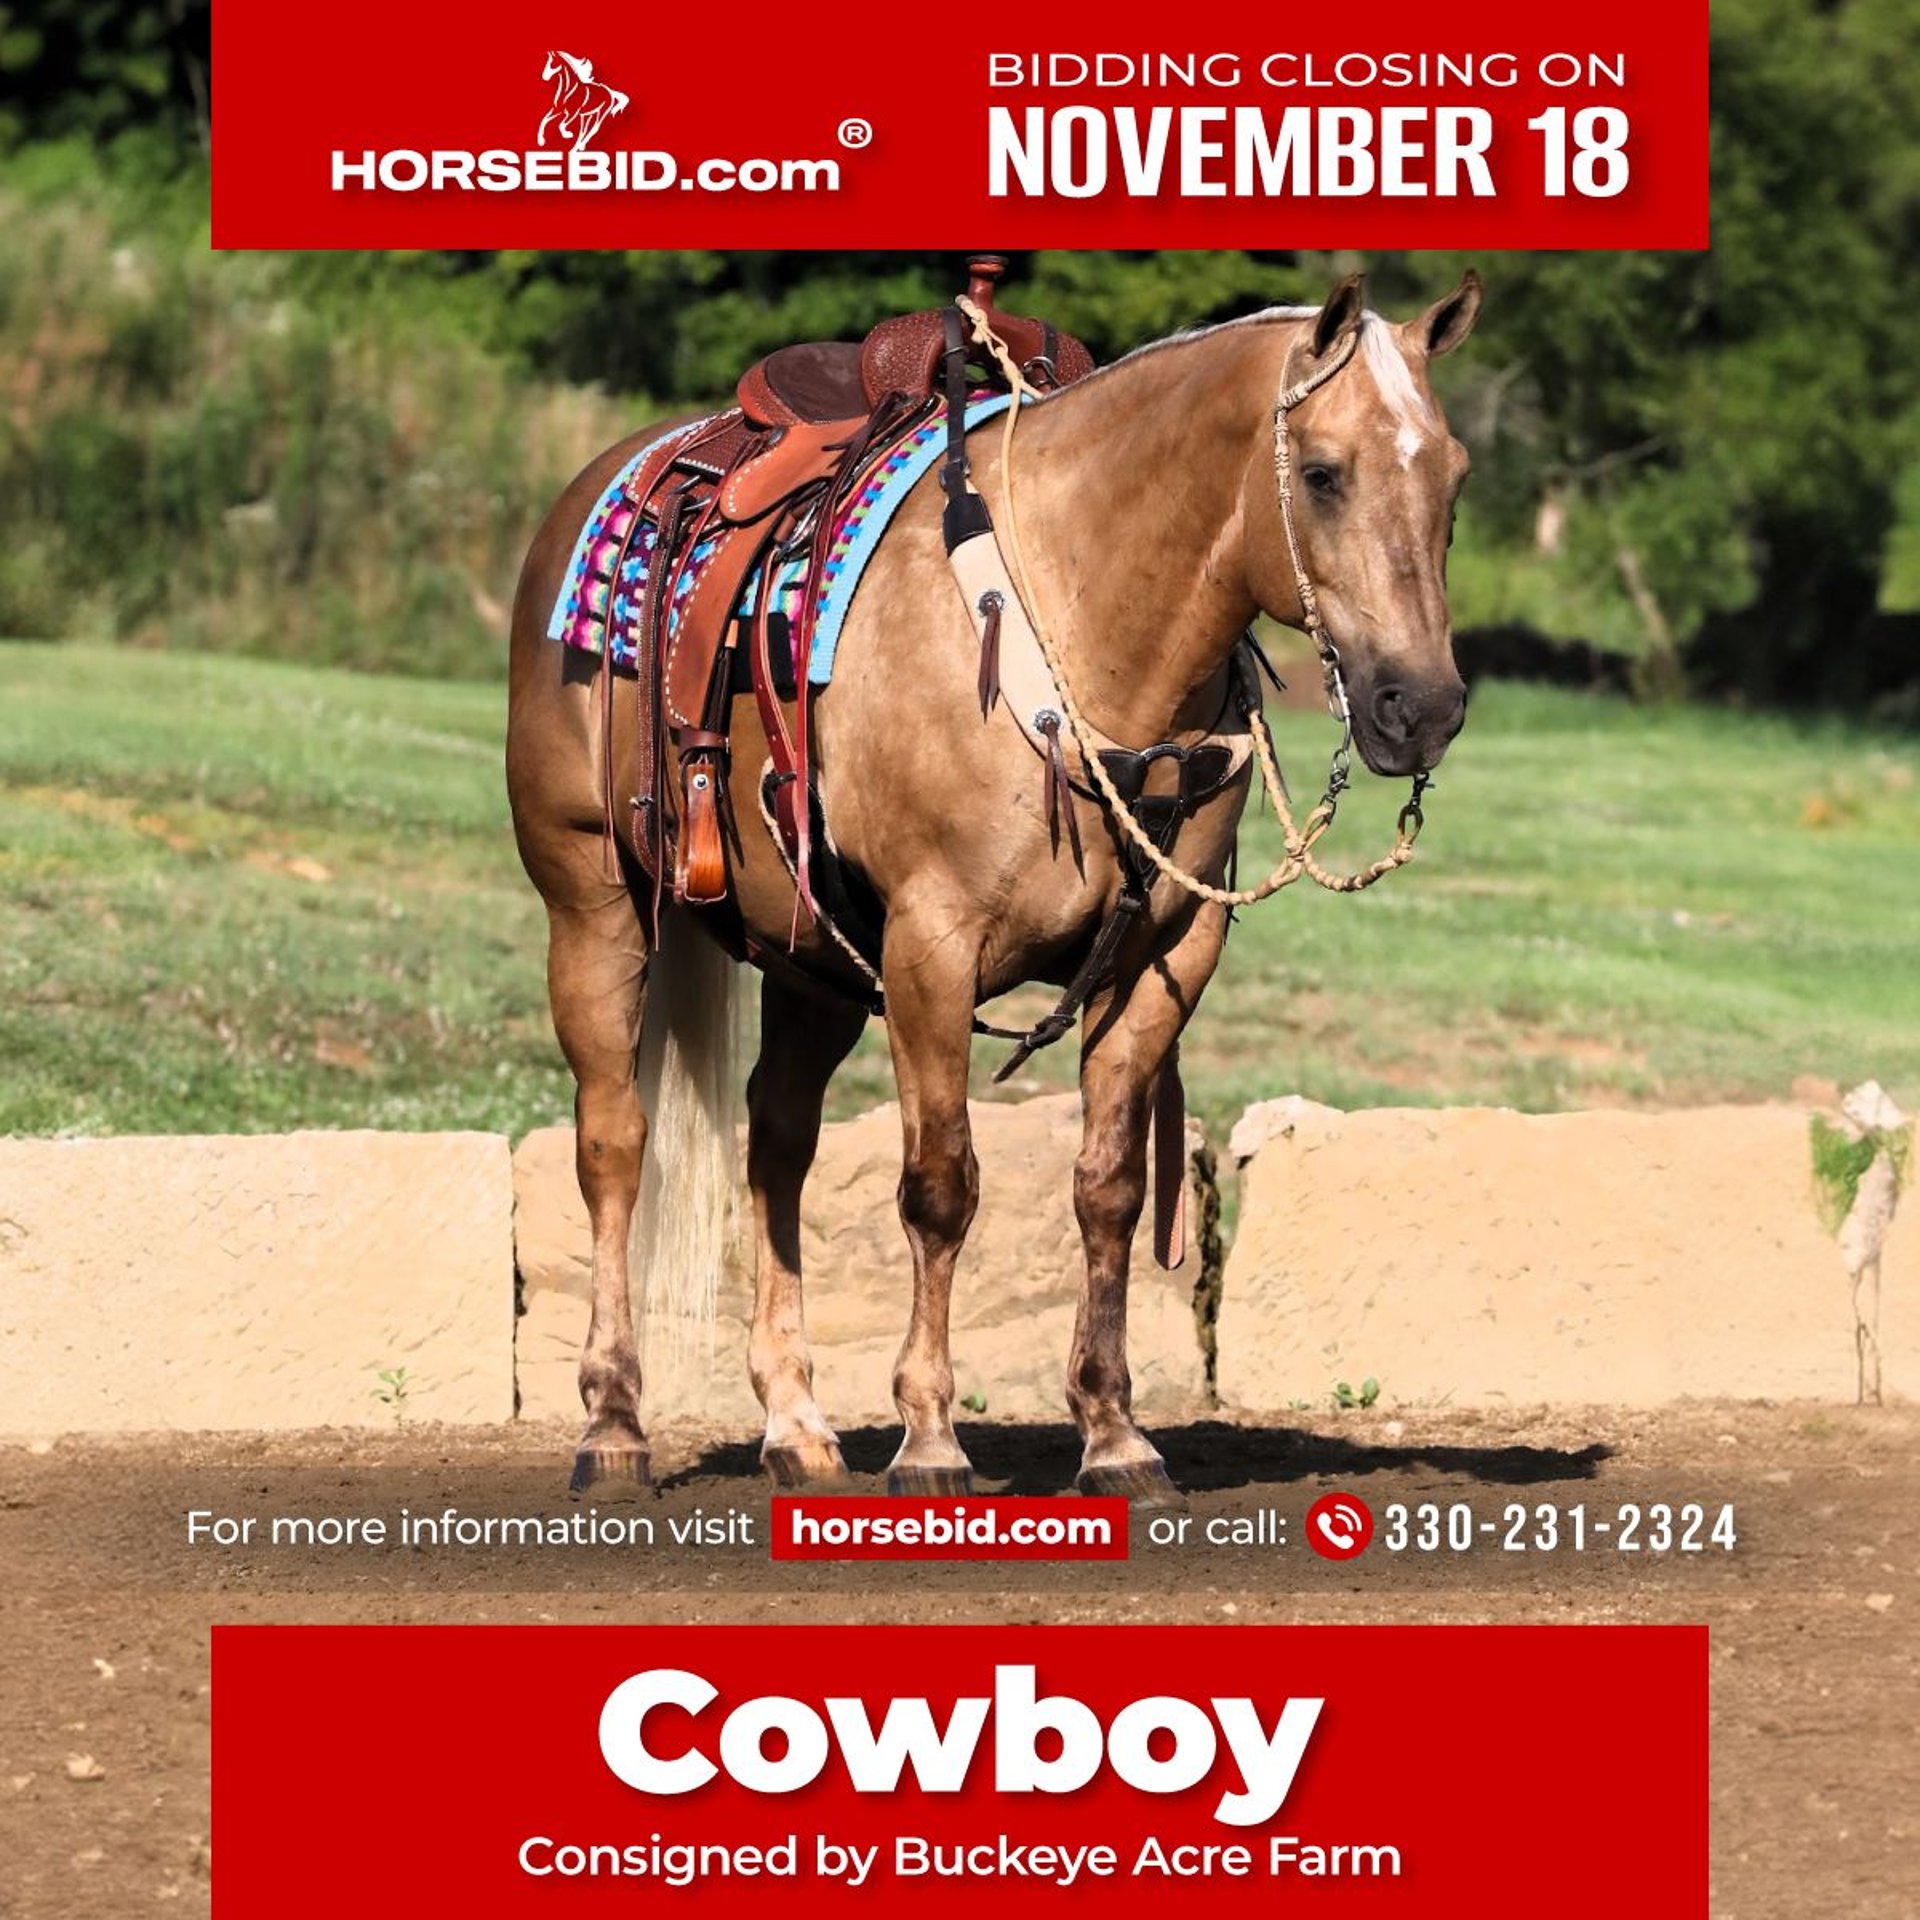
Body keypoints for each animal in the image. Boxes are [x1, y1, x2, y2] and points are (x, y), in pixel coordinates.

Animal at [505, 271, 1482, 1505]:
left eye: (1453, 476)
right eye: (1320, 471)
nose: (1422, 707)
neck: (1079, 617)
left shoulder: (1165, 960)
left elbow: (1108, 1188)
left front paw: (1114, 1435)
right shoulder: (932, 949)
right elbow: (941, 1186)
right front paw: (930, 1437)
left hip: (814, 960)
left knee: (777, 1143)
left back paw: (795, 1423)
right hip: (591, 905)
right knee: (614, 1143)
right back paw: (615, 1423)